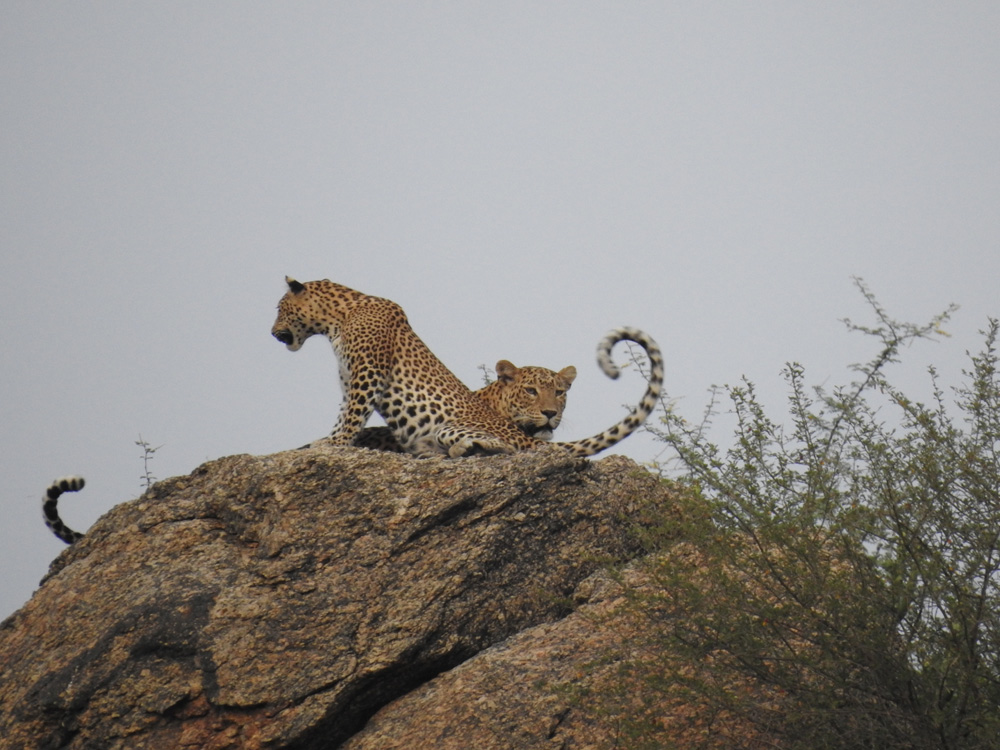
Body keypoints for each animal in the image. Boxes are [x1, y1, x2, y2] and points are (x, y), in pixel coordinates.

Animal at [272, 276, 663, 459]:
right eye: (531, 391)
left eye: (279, 308)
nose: (273, 331)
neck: (339, 317)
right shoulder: (351, 377)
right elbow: (344, 414)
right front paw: (327, 441)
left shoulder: (366, 374)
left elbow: (351, 415)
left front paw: (332, 444)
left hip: (451, 427)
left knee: (506, 448)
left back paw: (470, 448)